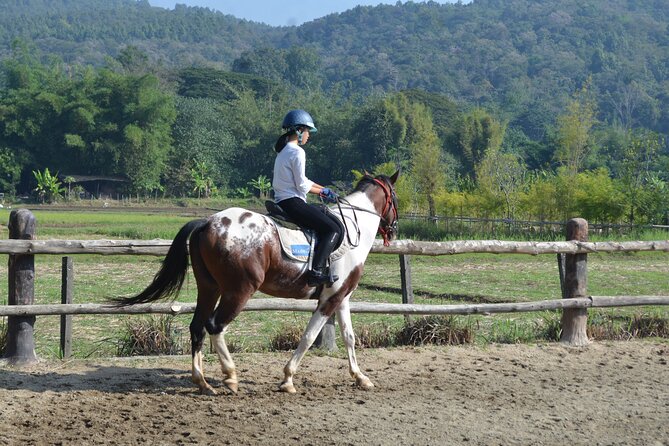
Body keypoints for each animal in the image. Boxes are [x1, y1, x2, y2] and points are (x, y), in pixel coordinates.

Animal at [114, 171, 399, 395]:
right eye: (394, 199)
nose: (393, 229)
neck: (353, 229)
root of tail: (207, 222)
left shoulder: (341, 296)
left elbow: (349, 337)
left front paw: (361, 377)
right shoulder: (330, 298)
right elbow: (308, 337)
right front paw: (288, 379)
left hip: (209, 287)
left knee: (197, 326)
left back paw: (202, 382)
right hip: (239, 291)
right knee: (215, 325)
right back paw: (230, 377)